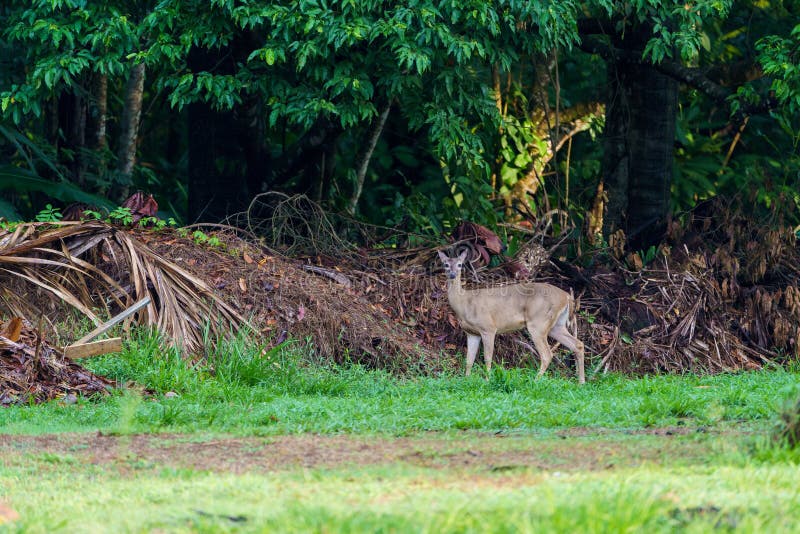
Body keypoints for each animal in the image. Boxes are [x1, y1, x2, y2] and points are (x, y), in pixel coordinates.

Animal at [438, 250, 585, 383]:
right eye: (446, 264)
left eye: (460, 265)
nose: (452, 274)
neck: (464, 303)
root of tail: (567, 297)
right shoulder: (471, 333)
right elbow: (469, 360)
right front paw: (466, 380)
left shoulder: (488, 327)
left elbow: (487, 357)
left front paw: (487, 380)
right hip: (556, 325)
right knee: (577, 344)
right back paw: (581, 382)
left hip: (538, 322)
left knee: (547, 354)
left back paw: (535, 381)